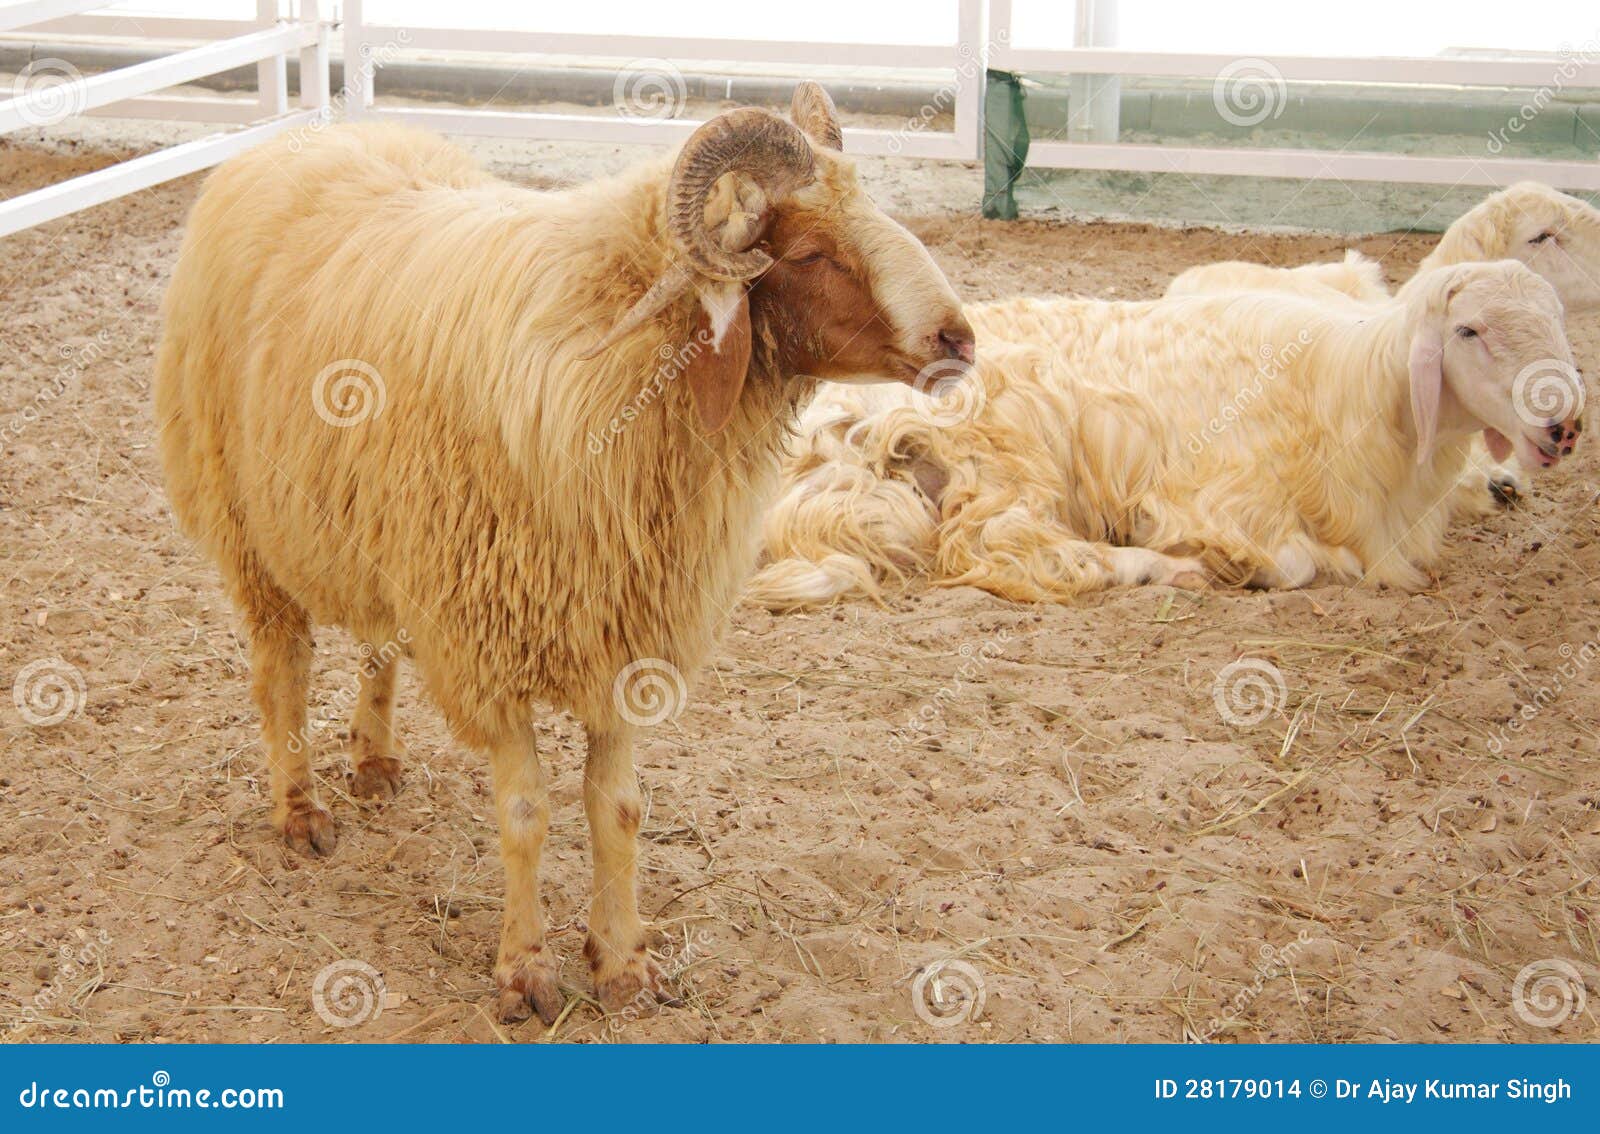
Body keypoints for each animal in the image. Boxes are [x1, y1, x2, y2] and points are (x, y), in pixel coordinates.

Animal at [153, 85, 975, 1023]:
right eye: (806, 251)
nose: (960, 339)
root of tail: (298, 138)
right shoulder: (490, 641)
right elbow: (525, 813)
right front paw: (524, 971)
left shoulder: (625, 629)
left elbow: (615, 809)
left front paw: (620, 964)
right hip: (252, 525)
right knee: (280, 672)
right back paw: (300, 811)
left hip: (378, 524)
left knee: (377, 641)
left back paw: (374, 759)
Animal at [749, 260, 1581, 609]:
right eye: (1469, 330)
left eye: (1559, 319)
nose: (1563, 424)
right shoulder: (1220, 496)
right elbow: (1293, 564)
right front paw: (1225, 563)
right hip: (1015, 448)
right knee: (1016, 551)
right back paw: (1168, 570)